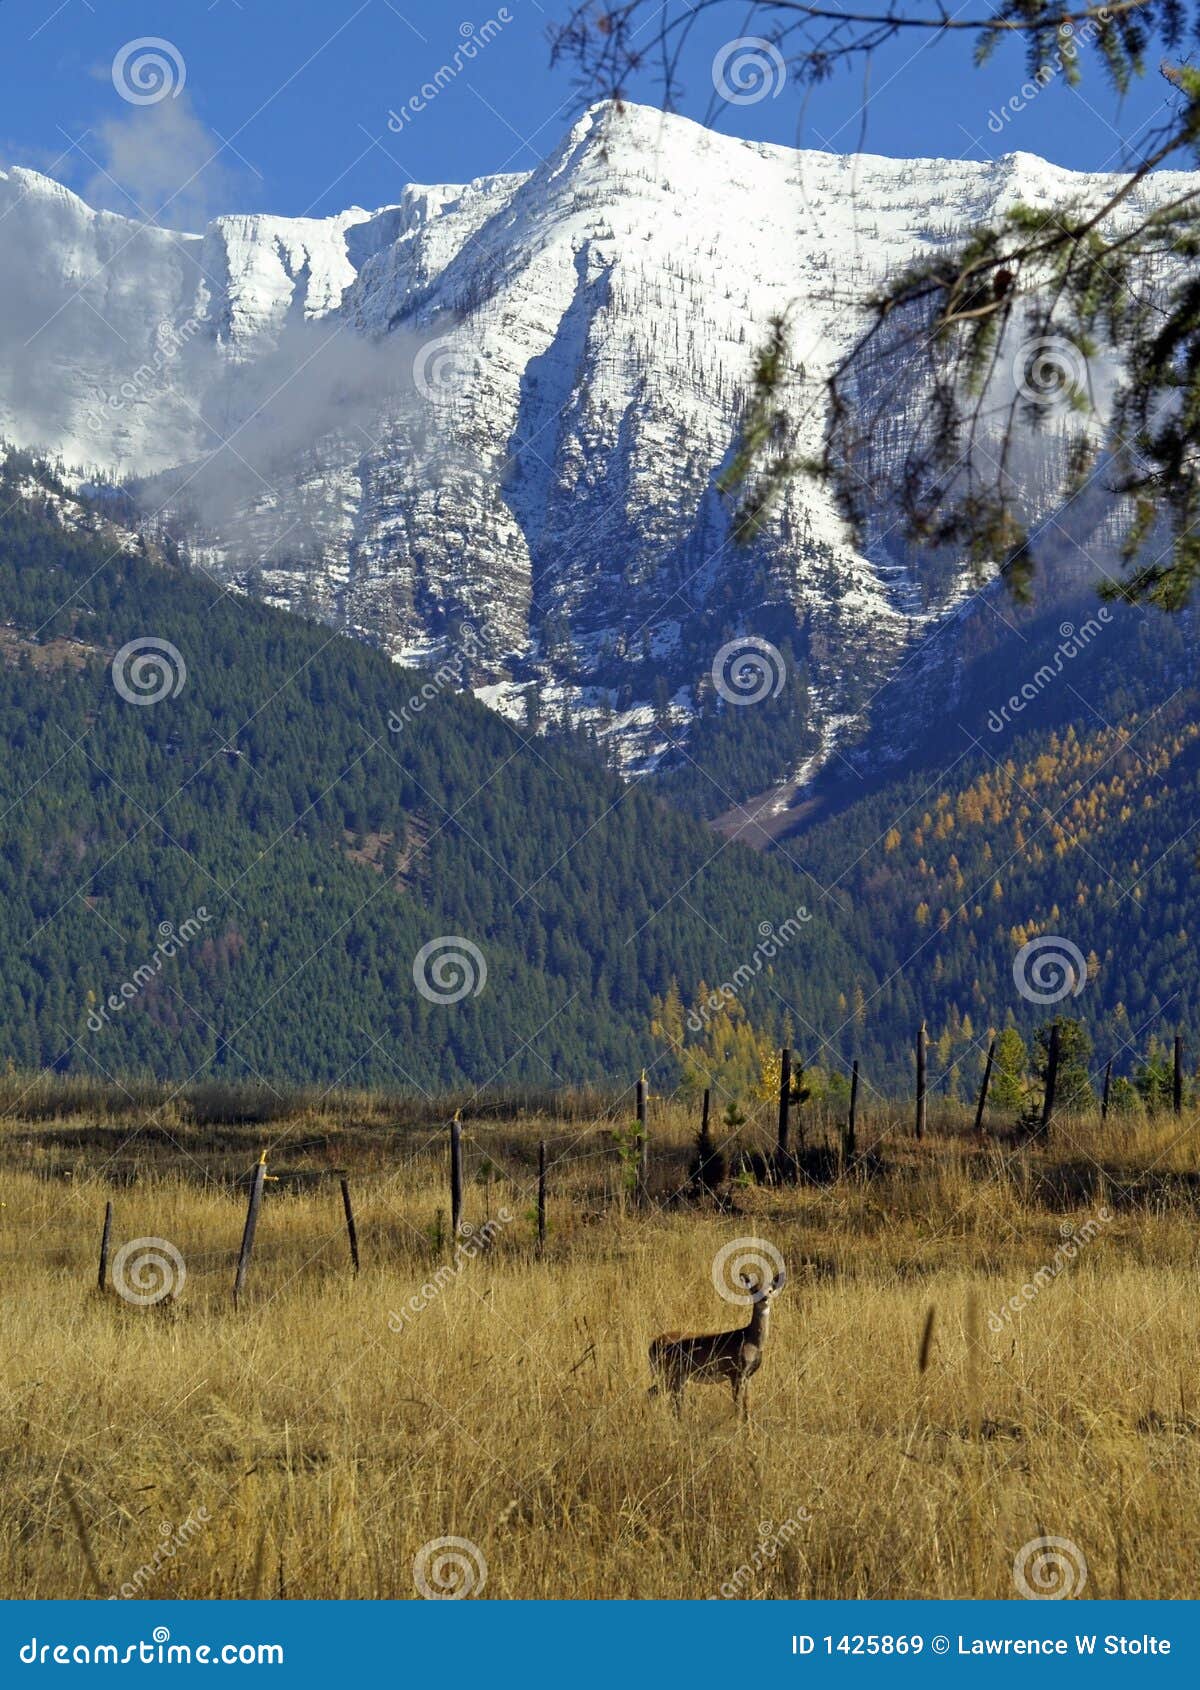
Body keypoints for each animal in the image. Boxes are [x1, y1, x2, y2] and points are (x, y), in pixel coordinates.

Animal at [648, 1266, 786, 1421]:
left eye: (770, 1290)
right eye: (754, 1289)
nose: (765, 1299)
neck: (751, 1341)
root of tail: (652, 1345)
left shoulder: (748, 1376)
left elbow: (747, 1408)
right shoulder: (735, 1372)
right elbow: (737, 1408)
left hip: (675, 1375)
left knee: (657, 1395)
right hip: (672, 1372)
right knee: (669, 1400)